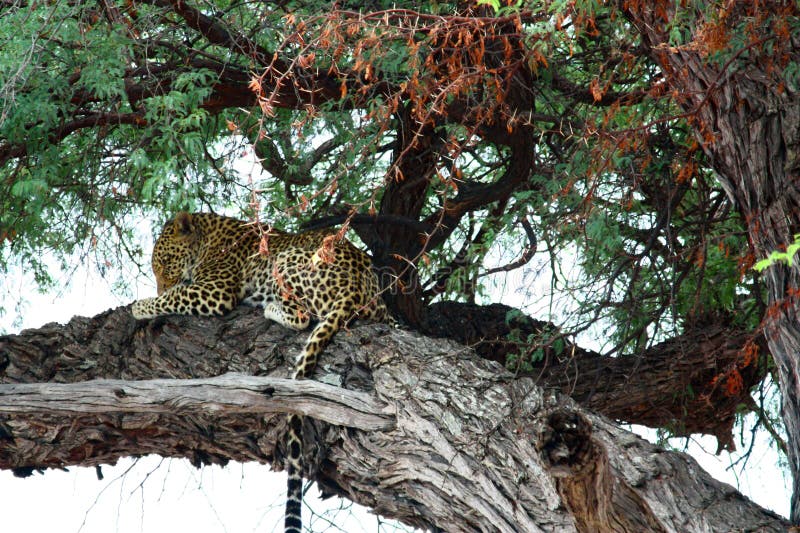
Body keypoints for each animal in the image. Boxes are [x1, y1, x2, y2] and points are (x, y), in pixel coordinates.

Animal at [131, 211, 392, 533]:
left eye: (166, 263)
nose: (159, 286)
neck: (206, 235)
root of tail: (356, 288)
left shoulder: (214, 291)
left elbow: (175, 296)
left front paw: (140, 306)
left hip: (286, 259)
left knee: (301, 317)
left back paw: (269, 307)